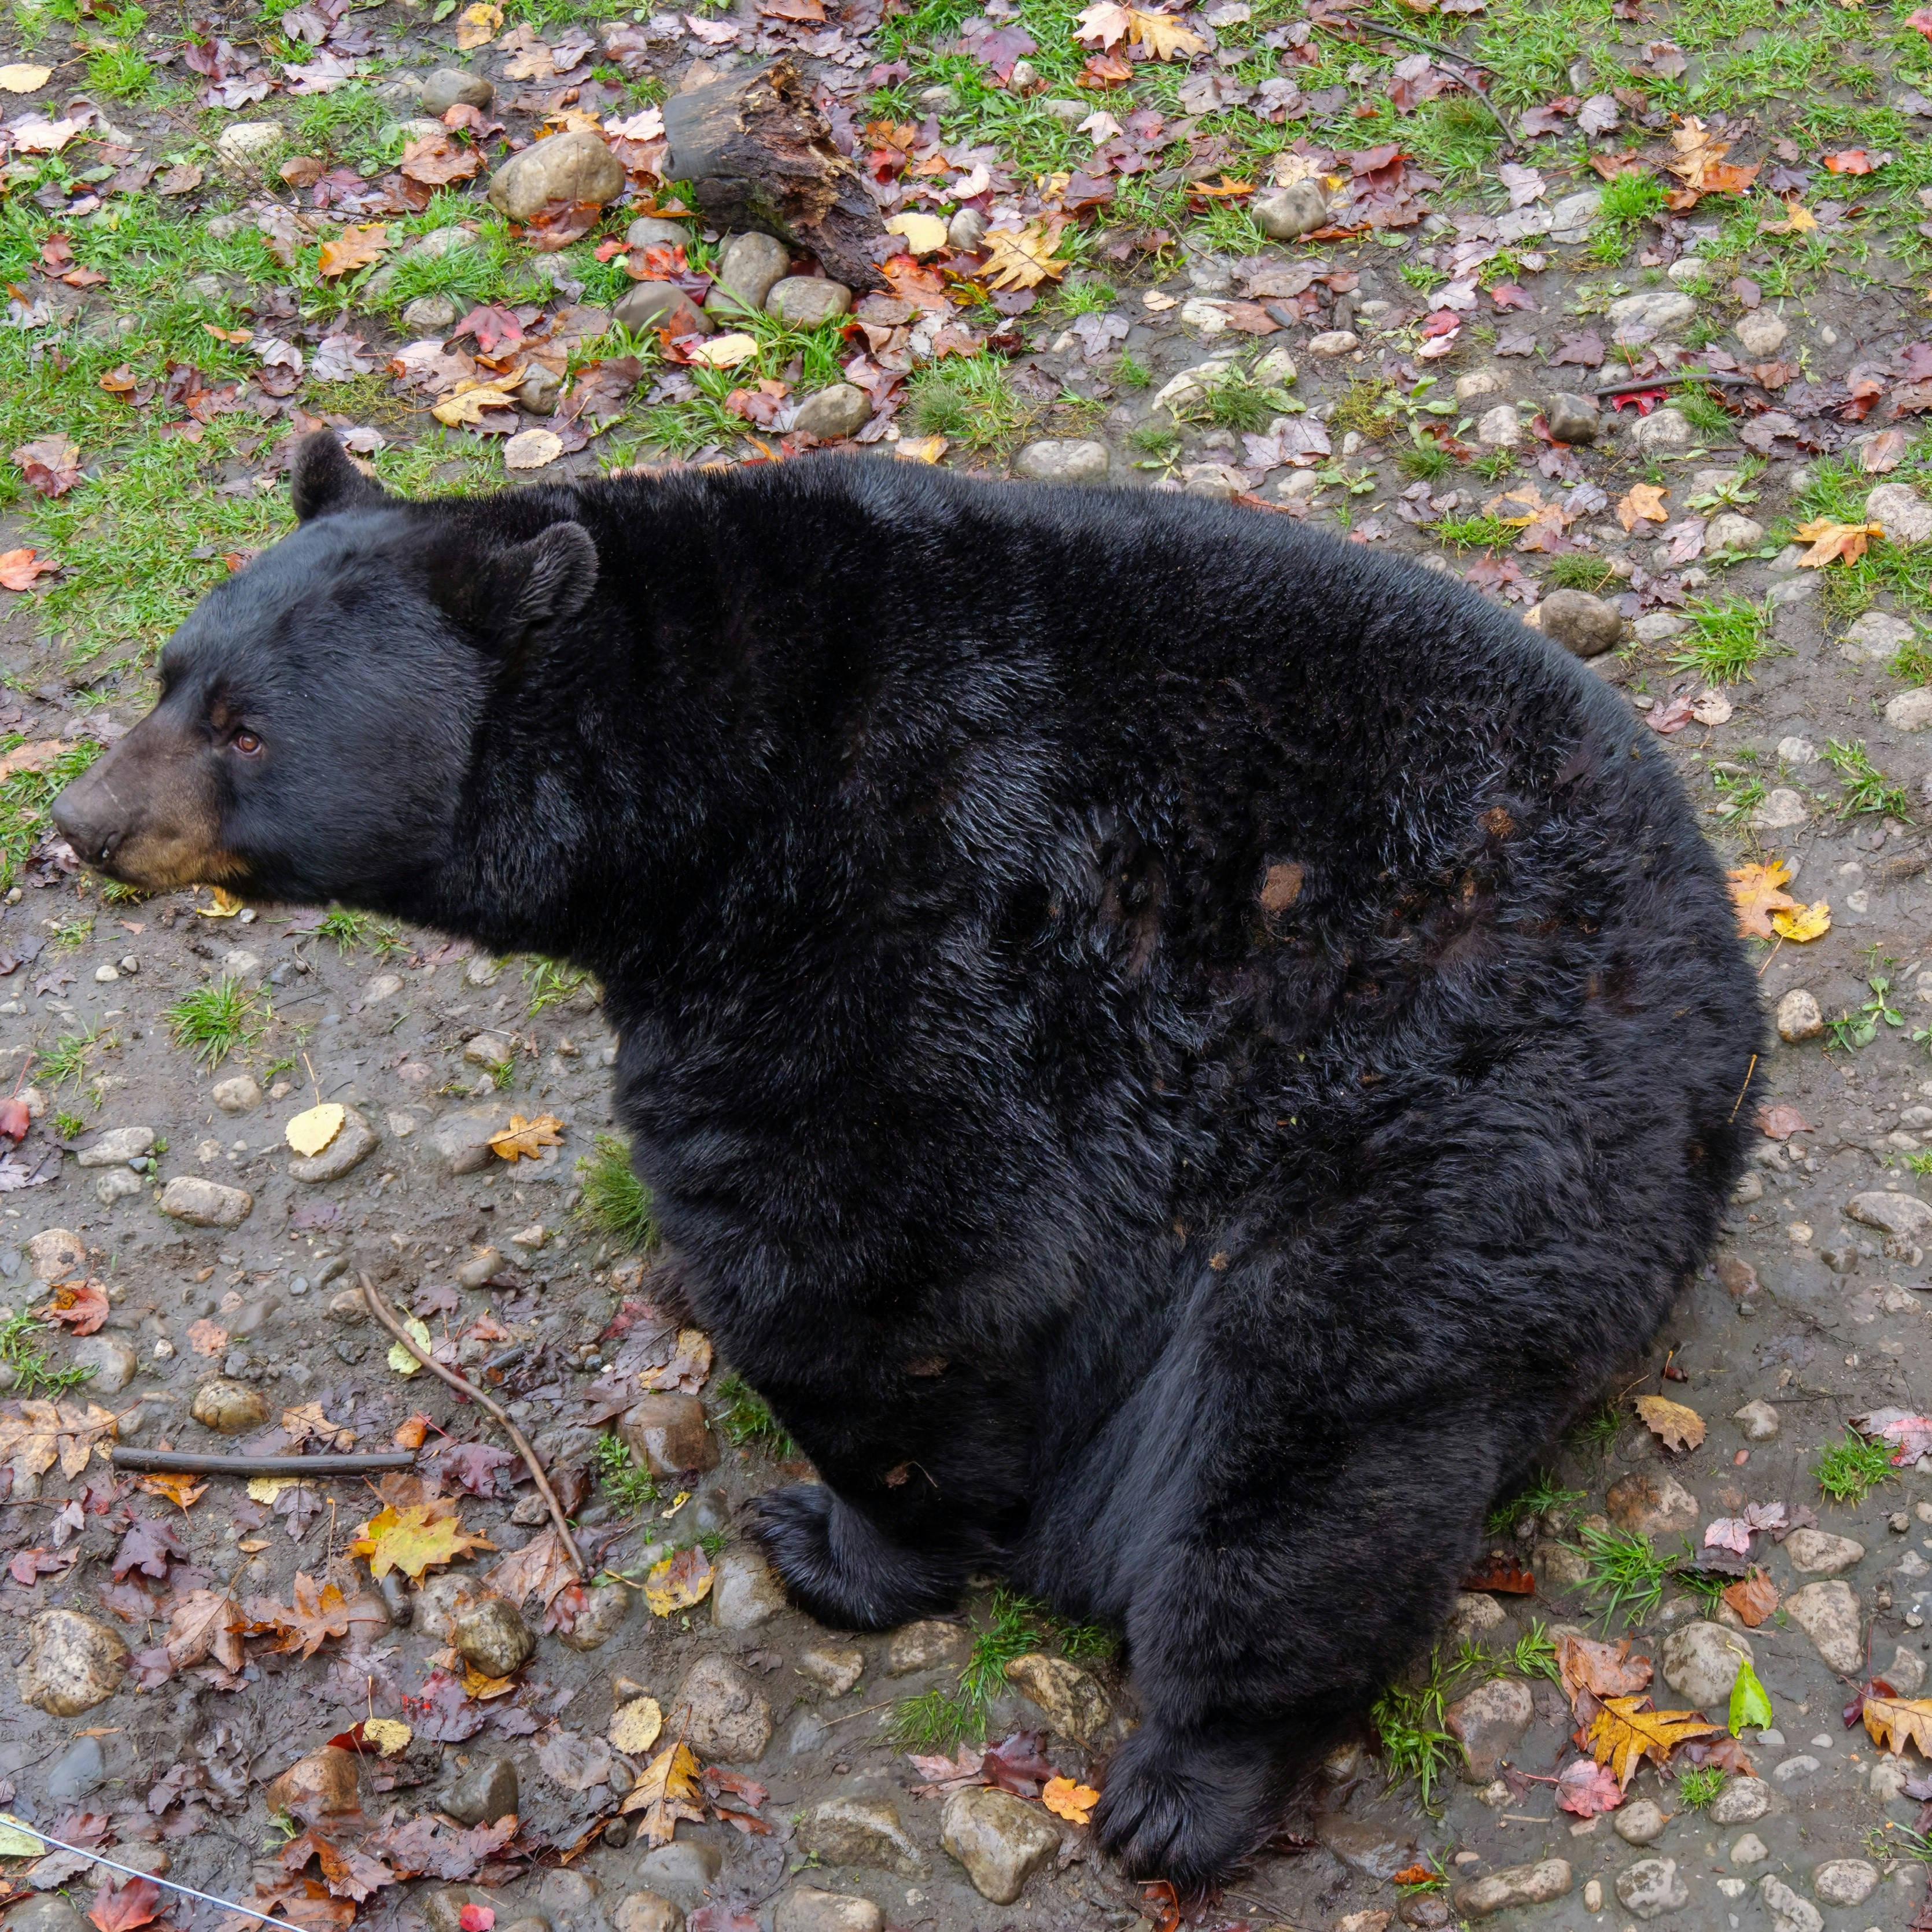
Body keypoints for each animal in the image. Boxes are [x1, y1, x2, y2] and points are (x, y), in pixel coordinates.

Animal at [54, 431, 1761, 1886]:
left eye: (245, 727)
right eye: (171, 676)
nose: (79, 817)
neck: (702, 783)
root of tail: (1729, 1026)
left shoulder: (893, 919)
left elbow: (882, 1262)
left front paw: (843, 1537)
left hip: (1447, 1132)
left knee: (1312, 1446)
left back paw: (1194, 1774)